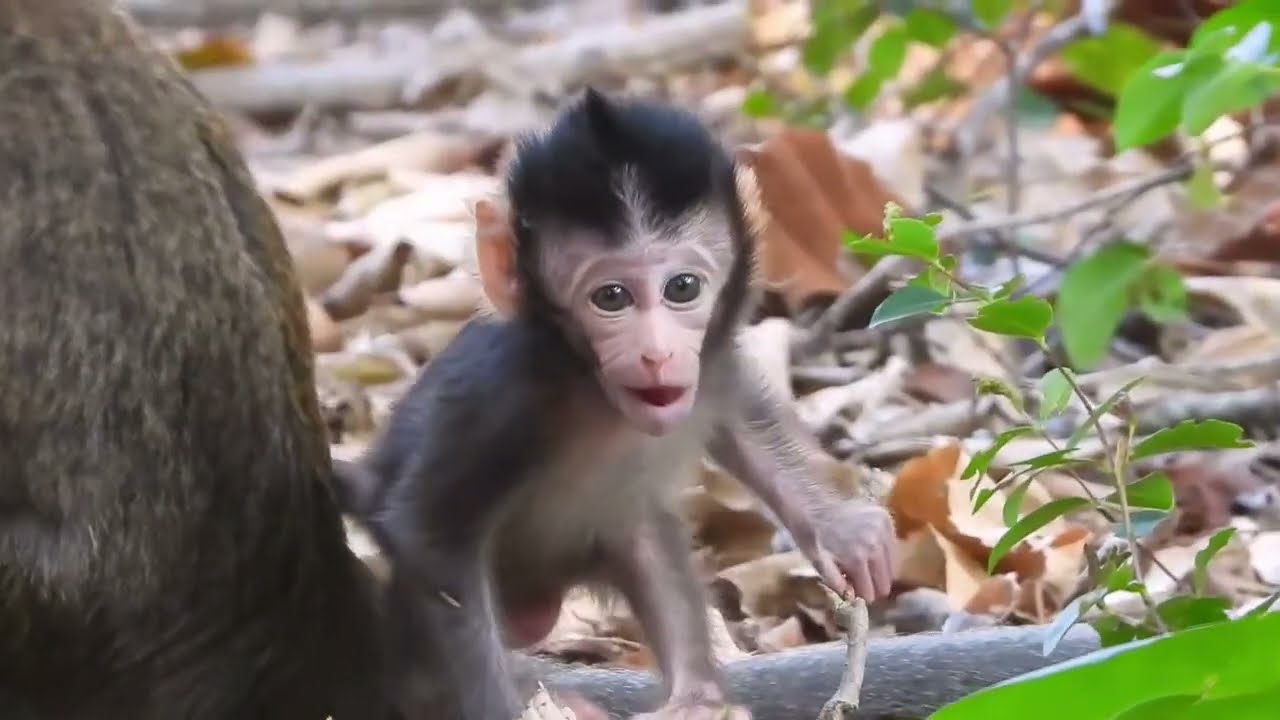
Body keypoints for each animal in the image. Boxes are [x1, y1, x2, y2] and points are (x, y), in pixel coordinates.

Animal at [334, 88, 896, 720]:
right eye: (611, 298)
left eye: (682, 288)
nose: (656, 353)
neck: (593, 390)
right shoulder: (498, 399)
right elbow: (432, 539)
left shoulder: (709, 362)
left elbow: (740, 414)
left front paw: (841, 529)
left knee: (640, 531)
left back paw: (696, 698)